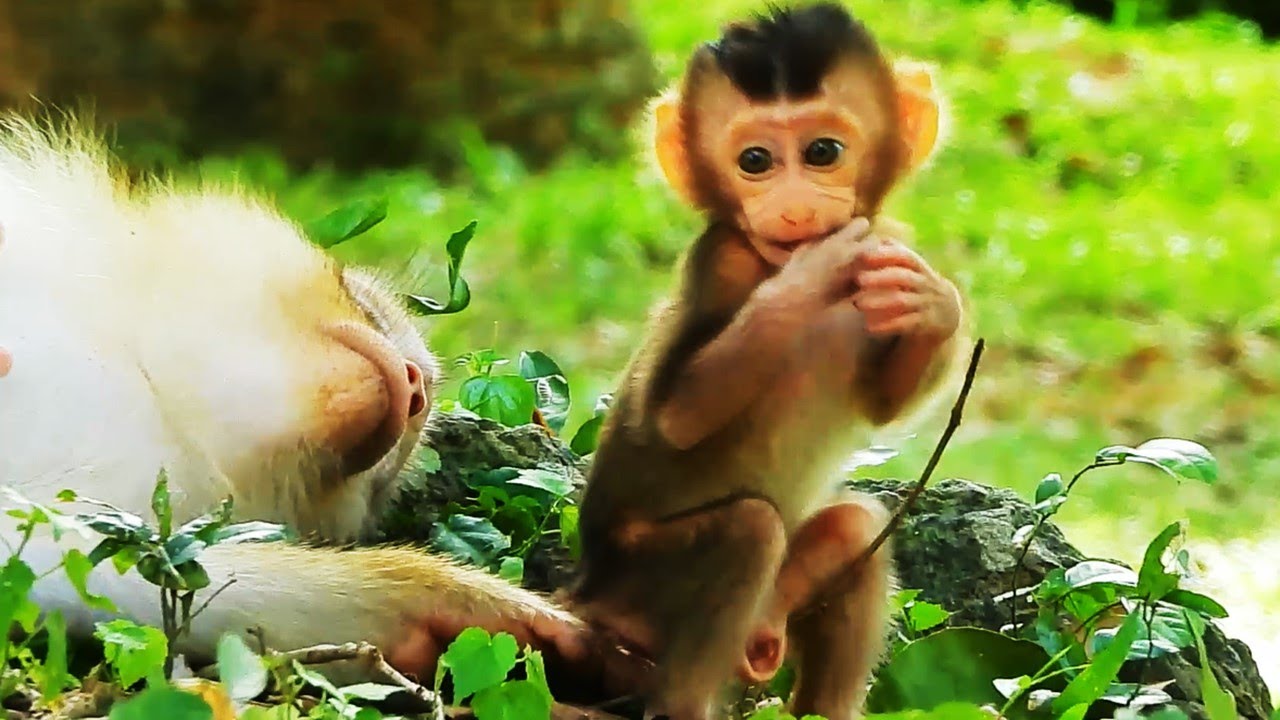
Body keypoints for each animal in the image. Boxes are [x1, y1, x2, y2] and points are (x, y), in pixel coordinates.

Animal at [565, 4, 965, 720]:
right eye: (754, 161)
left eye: (822, 153)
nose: (796, 209)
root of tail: (583, 590)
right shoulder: (721, 261)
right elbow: (673, 416)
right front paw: (802, 282)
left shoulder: (882, 241)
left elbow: (882, 403)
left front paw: (932, 302)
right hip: (634, 588)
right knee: (748, 530)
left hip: (770, 609)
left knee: (854, 529)